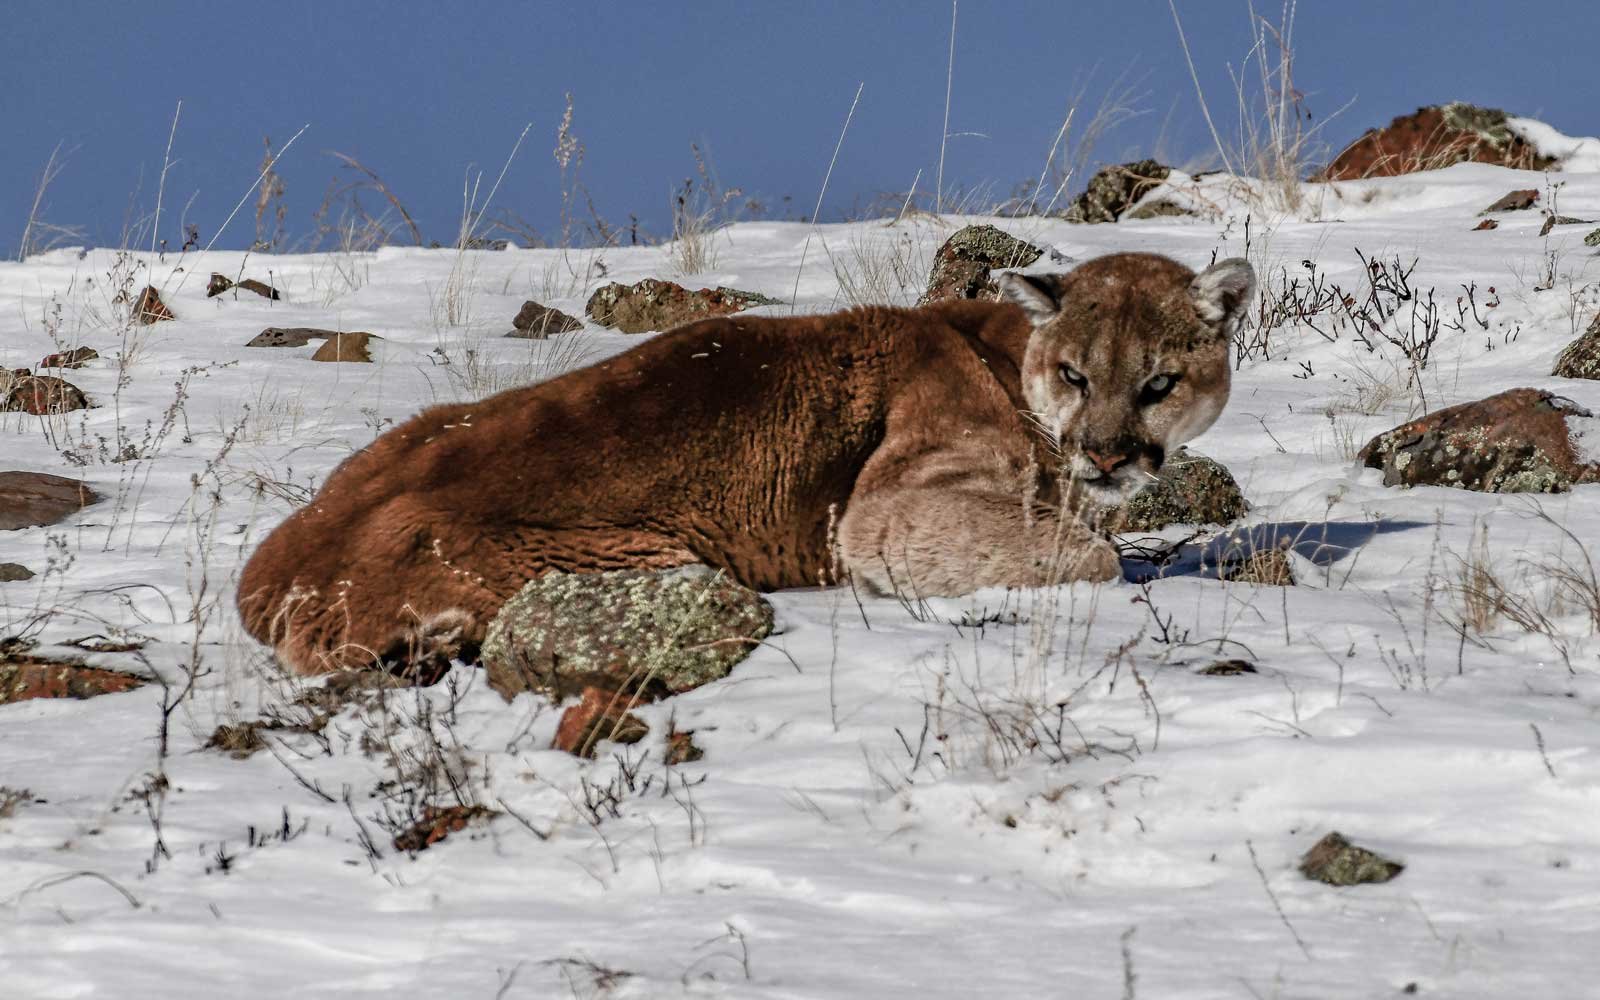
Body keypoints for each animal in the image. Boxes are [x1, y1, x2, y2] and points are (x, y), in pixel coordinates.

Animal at [237, 251, 1254, 675]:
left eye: (1159, 382)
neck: (1007, 357)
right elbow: (1090, 556)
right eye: (1077, 374)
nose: (1107, 454)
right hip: (642, 560)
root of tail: (271, 573)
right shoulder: (885, 510)